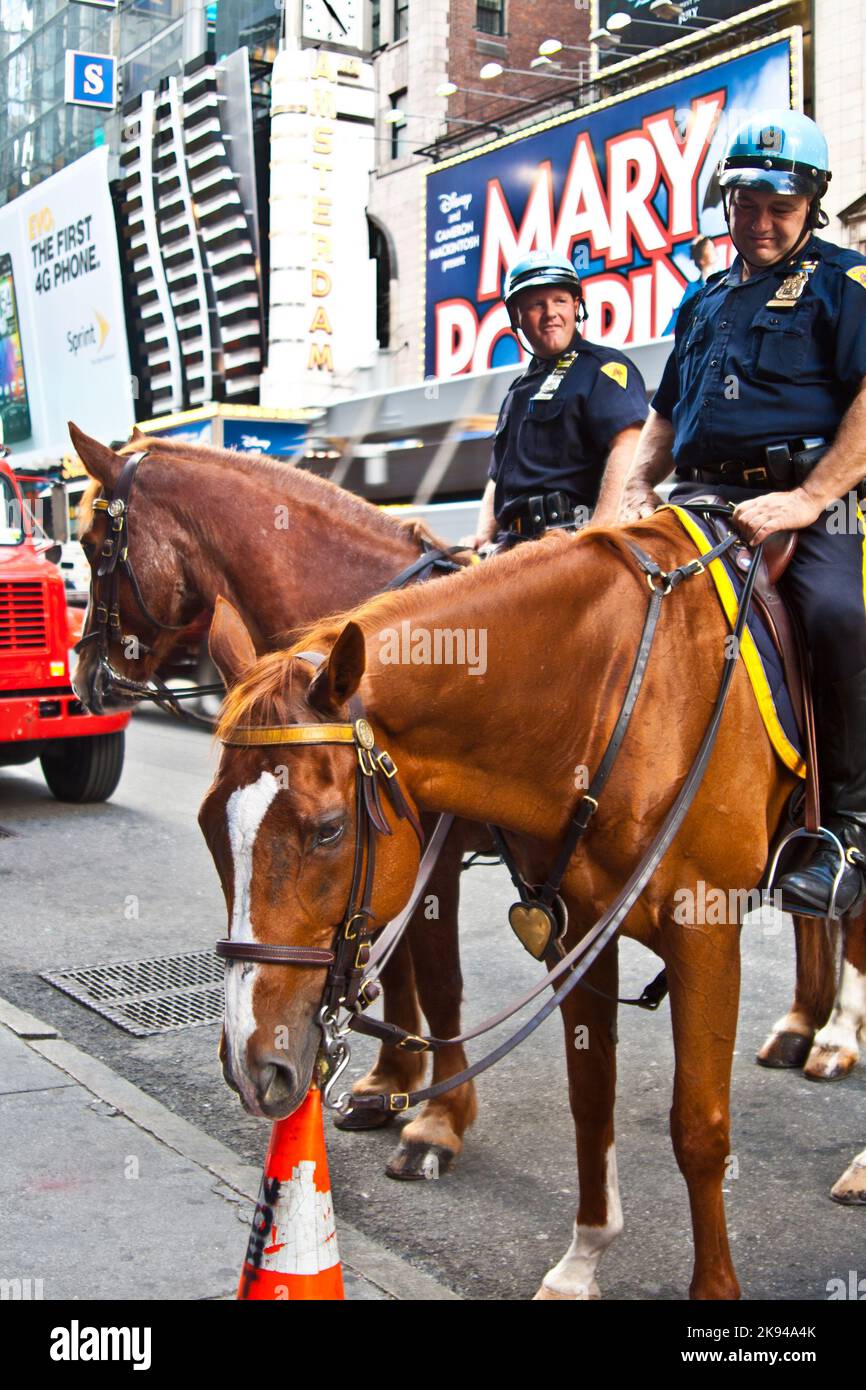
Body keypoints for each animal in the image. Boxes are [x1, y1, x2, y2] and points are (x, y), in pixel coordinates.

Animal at [202, 511, 853, 1300]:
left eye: (327, 829)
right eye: (209, 825)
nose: (251, 1065)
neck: (621, 700)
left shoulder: (705, 934)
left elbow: (699, 1126)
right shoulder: (580, 935)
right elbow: (590, 1098)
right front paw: (584, 1257)